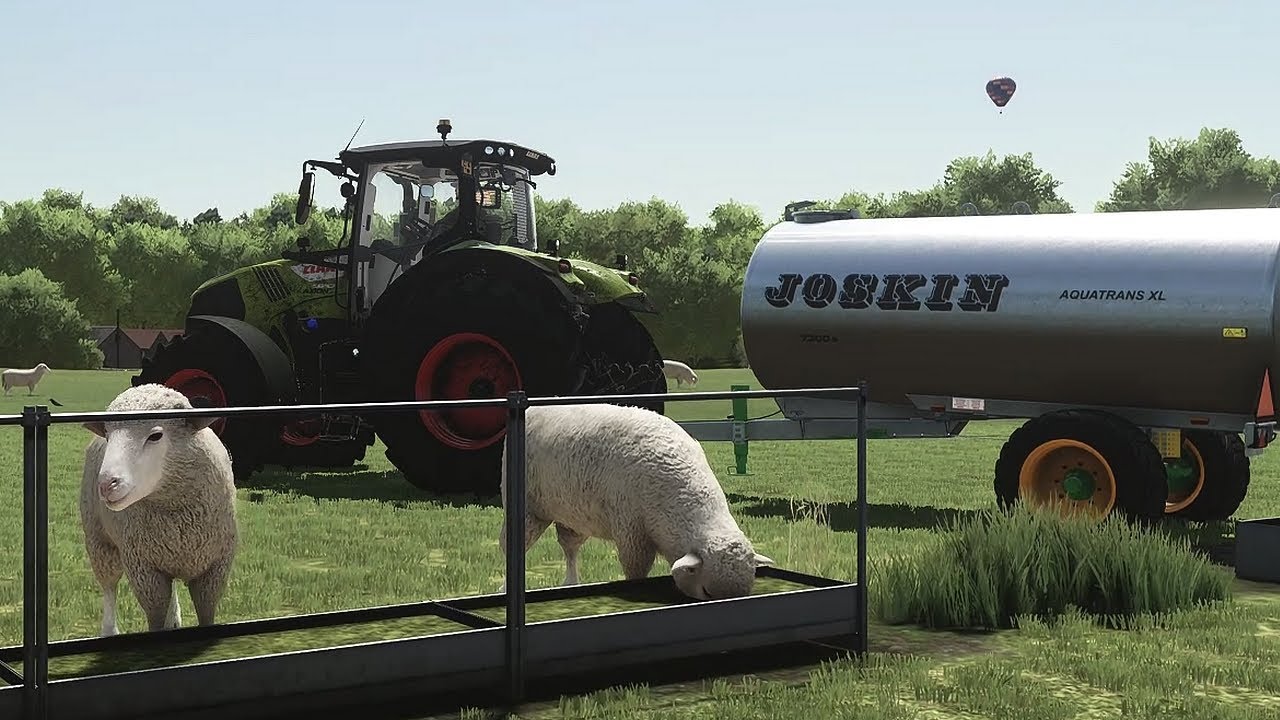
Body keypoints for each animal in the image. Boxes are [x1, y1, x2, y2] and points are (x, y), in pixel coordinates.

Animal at [79, 383, 238, 636]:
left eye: (156, 436)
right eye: (108, 434)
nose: (105, 485)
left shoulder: (214, 568)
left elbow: (206, 614)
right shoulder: (144, 569)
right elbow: (154, 618)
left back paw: (173, 619)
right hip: (98, 540)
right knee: (109, 588)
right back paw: (109, 630)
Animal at [497, 402, 773, 601]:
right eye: (706, 593)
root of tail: (534, 407)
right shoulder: (631, 531)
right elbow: (636, 570)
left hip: (573, 514)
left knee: (570, 549)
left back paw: (571, 582)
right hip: (526, 509)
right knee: (512, 549)